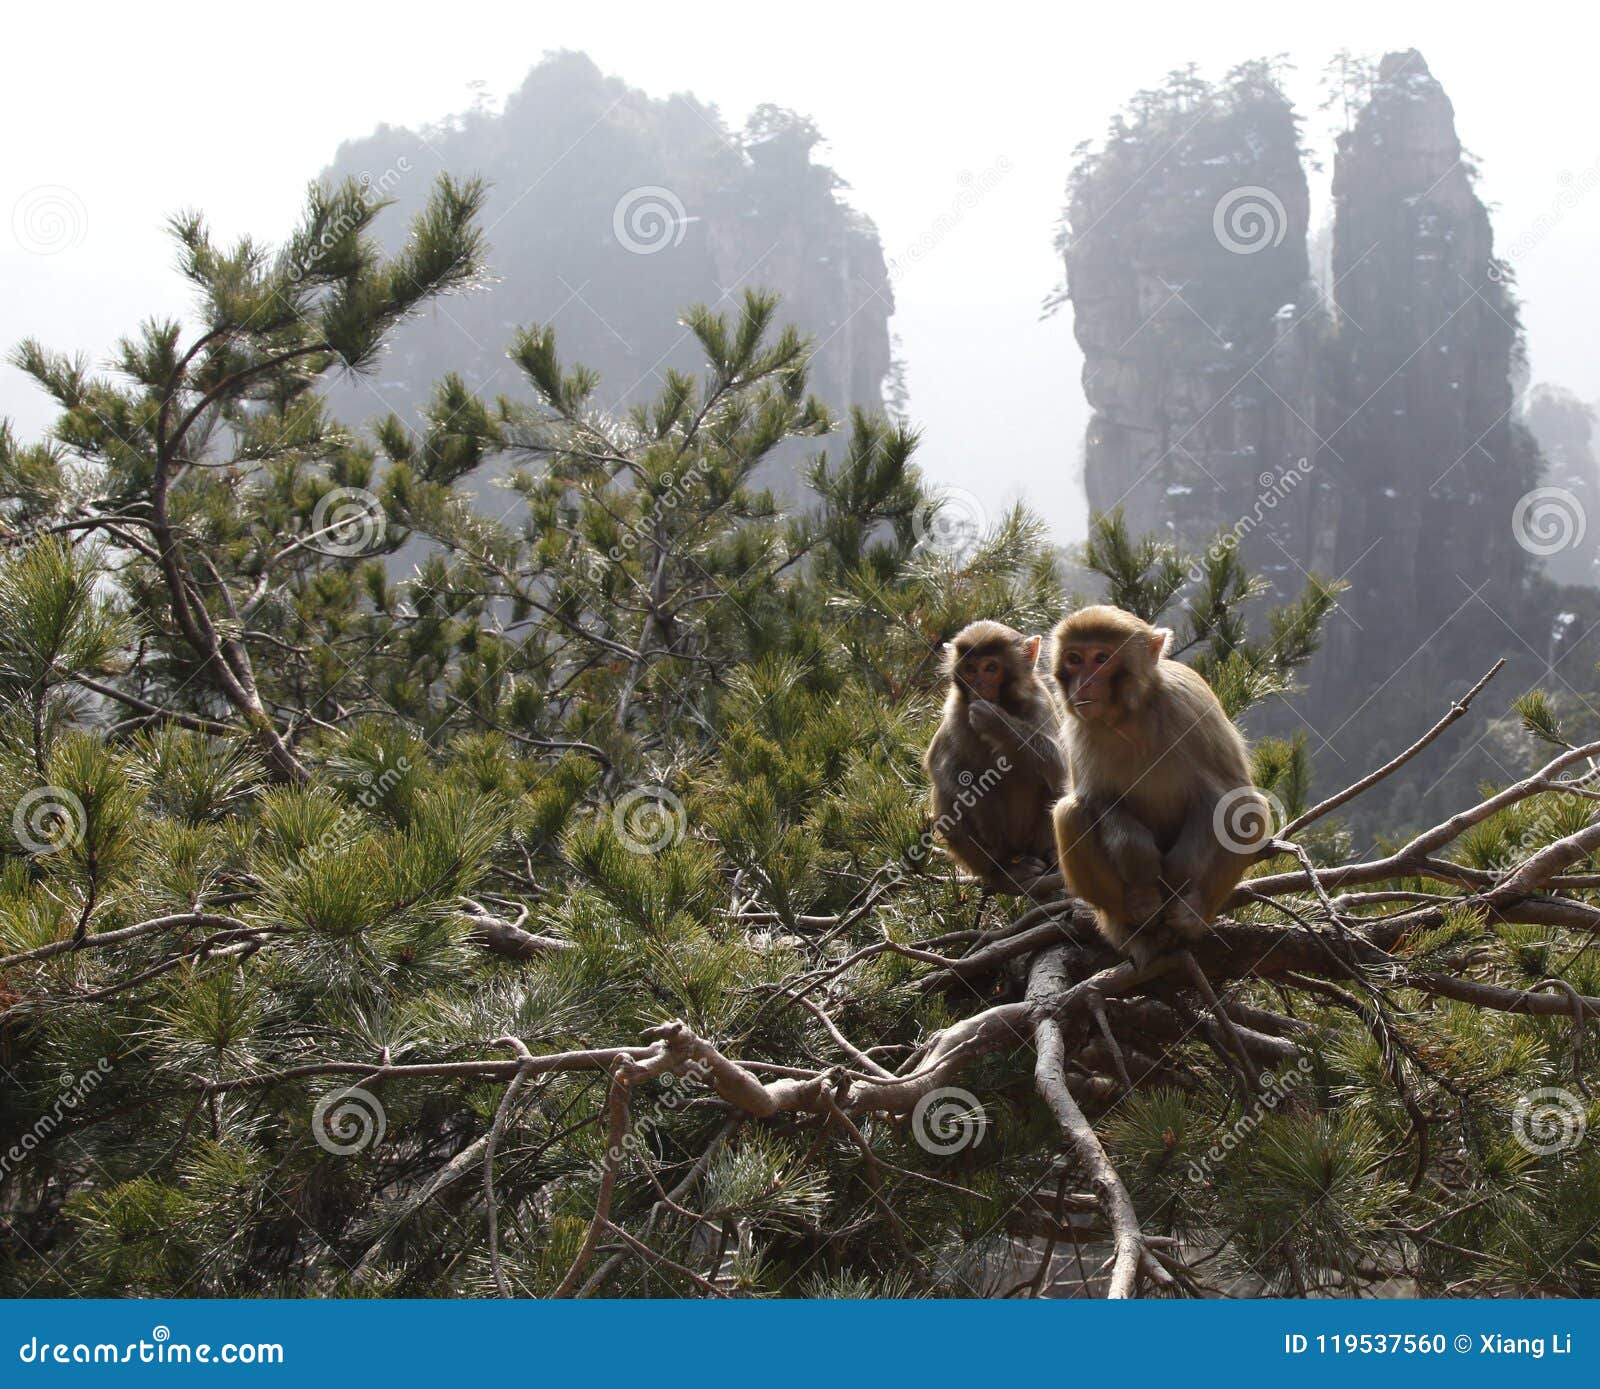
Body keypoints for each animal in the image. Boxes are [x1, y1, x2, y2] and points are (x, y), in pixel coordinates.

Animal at [923, 620, 1069, 895]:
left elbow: (1060, 769)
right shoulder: (955, 711)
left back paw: (1050, 854)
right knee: (946, 797)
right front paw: (985, 810)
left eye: (991, 668)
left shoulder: (1040, 702)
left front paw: (997, 722)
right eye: (970, 669)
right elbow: (939, 767)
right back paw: (1003, 871)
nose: (978, 687)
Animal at [1048, 605, 1269, 962]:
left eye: (1101, 658)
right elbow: (1098, 799)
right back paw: (1134, 920)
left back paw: (1193, 914)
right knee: (1070, 813)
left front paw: (1179, 874)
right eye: (1074, 659)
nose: (1085, 683)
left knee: (1248, 809)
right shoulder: (1078, 730)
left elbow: (1224, 793)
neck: (1129, 716)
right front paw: (1140, 866)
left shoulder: (1188, 707)